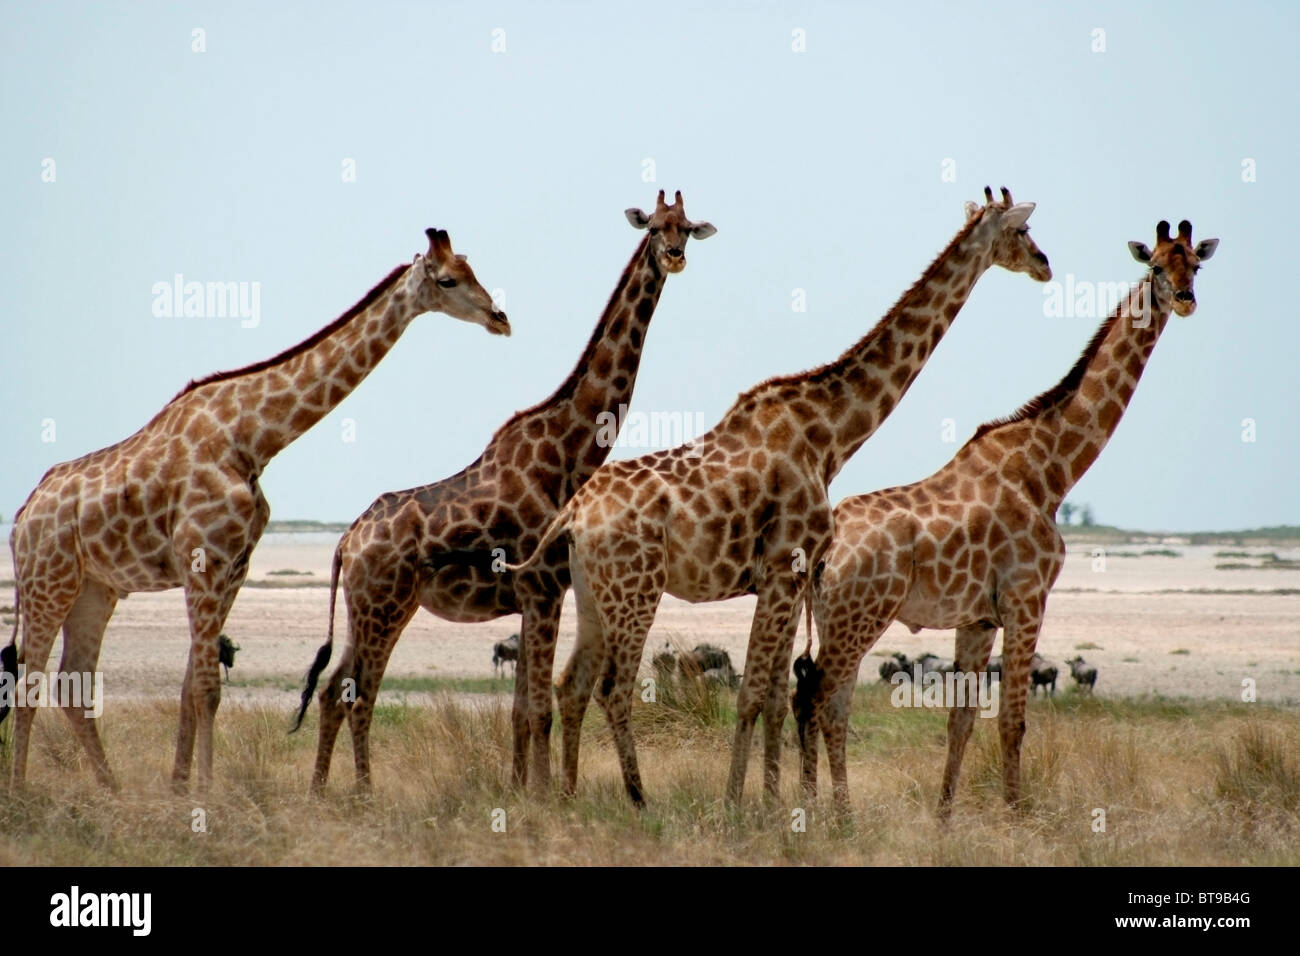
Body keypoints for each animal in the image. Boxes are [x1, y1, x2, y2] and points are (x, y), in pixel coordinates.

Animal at [1, 228, 508, 793]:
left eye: (472, 269)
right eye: (448, 280)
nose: (500, 317)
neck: (252, 439)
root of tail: (22, 515)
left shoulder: (233, 569)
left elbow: (192, 687)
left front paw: (180, 789)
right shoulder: (203, 562)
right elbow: (205, 687)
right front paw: (204, 794)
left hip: (96, 588)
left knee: (73, 681)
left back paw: (111, 790)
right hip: (49, 579)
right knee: (31, 676)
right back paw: (21, 790)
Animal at [293, 191, 715, 795]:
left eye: (686, 227)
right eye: (656, 227)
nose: (676, 257)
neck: (570, 451)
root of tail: (346, 541)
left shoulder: (537, 597)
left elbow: (523, 710)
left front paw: (520, 790)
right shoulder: (543, 590)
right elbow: (537, 710)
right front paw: (543, 797)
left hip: (371, 606)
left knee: (333, 690)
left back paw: (321, 790)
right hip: (383, 605)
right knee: (359, 694)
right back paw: (362, 792)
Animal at [508, 188, 1053, 806]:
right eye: (1021, 230)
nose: (1045, 264)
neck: (831, 435)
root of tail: (574, 512)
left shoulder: (791, 576)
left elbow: (771, 693)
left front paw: (775, 803)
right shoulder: (782, 567)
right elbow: (752, 693)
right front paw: (737, 803)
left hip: (591, 591)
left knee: (571, 682)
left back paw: (566, 797)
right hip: (636, 588)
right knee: (613, 687)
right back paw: (639, 801)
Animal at [793, 220, 1217, 814]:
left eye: (1195, 266)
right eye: (1156, 266)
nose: (1184, 299)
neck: (1052, 470)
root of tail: (822, 550)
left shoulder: (978, 618)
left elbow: (961, 720)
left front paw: (944, 817)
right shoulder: (1026, 599)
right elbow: (1013, 722)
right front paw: (1017, 817)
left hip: (834, 618)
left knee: (813, 698)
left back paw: (816, 808)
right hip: (859, 616)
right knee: (820, 701)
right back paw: (836, 816)